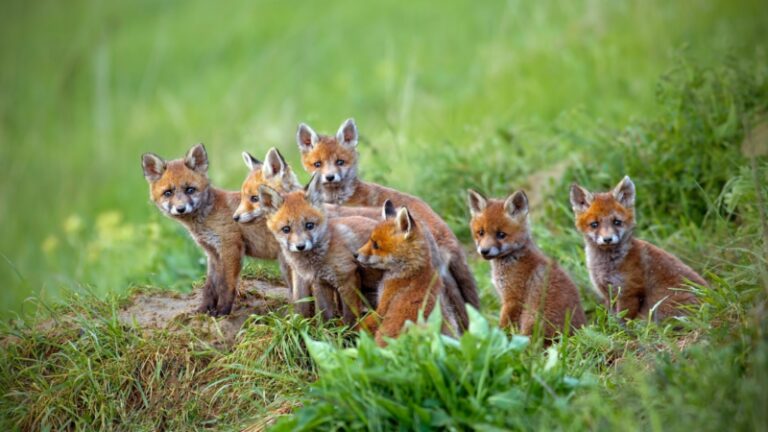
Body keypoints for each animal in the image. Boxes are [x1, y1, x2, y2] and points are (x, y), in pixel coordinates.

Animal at [141, 144, 280, 316]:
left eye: (190, 189)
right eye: (168, 193)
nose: (180, 209)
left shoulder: (230, 247)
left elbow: (226, 285)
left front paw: (222, 310)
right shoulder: (213, 253)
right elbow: (210, 287)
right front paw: (204, 309)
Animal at [258, 175, 382, 324]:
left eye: (309, 225)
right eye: (286, 229)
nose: (300, 246)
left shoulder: (347, 277)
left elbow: (349, 316)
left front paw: (349, 330)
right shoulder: (319, 282)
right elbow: (324, 314)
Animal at [356, 201, 457, 346]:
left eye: (375, 245)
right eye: (370, 241)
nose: (355, 254)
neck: (411, 271)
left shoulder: (382, 308)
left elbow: (360, 325)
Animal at [467, 189, 586, 338]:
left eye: (501, 234)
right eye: (481, 232)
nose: (484, 251)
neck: (513, 259)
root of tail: (576, 333)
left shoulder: (513, 299)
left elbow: (504, 328)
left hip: (531, 320)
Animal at [569, 176, 706, 321]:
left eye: (617, 222)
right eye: (594, 224)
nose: (607, 239)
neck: (606, 266)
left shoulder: (629, 292)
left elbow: (623, 320)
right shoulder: (608, 294)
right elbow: (612, 318)